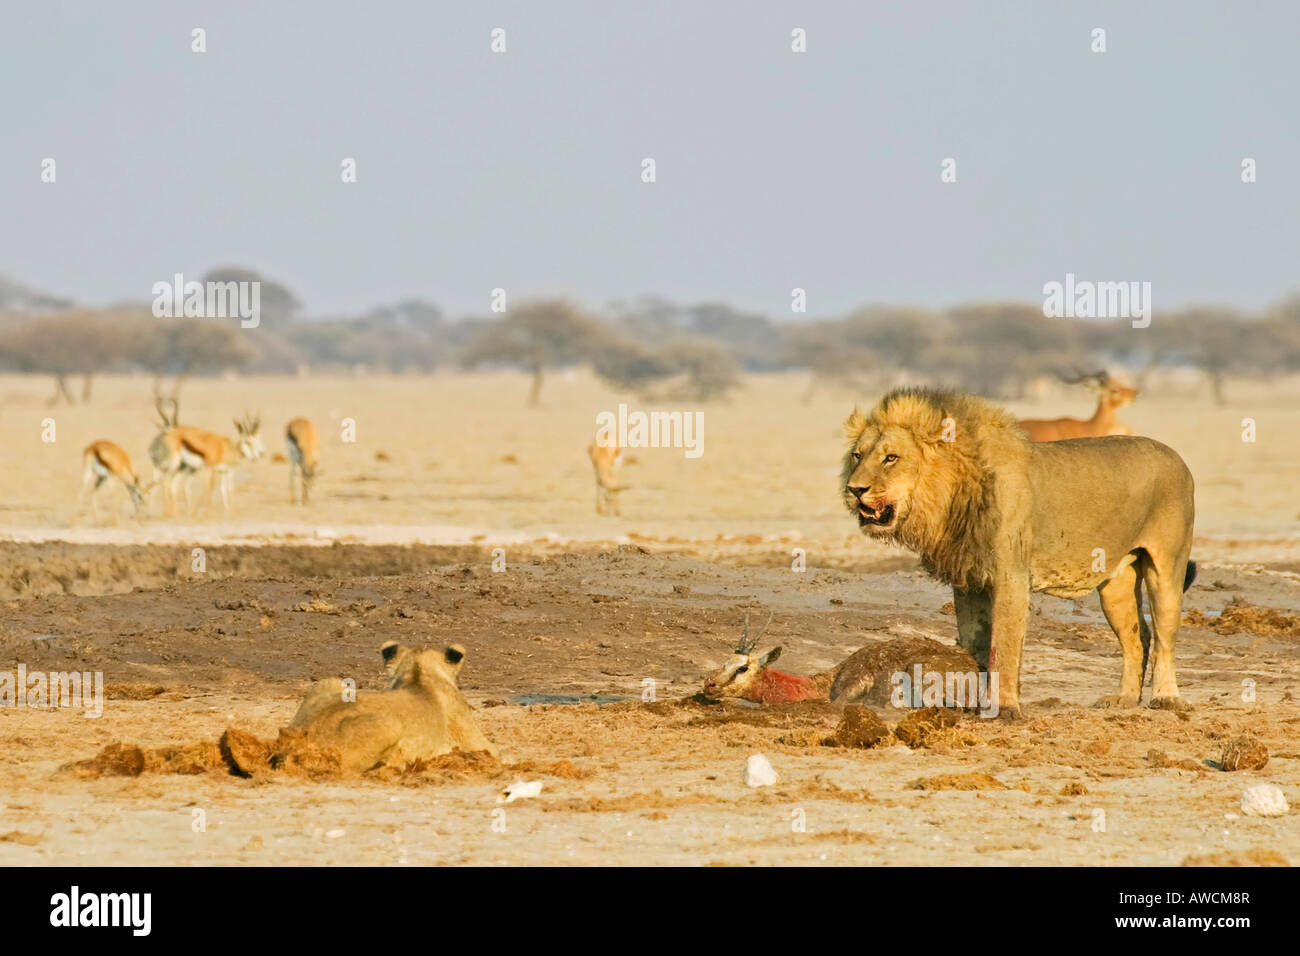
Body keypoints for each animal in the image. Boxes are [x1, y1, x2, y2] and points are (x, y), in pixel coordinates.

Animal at [841, 387, 1196, 718]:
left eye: (891, 458)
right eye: (857, 456)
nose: (854, 490)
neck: (950, 496)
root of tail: (1177, 457)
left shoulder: (1011, 577)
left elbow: (1004, 646)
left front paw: (1004, 708)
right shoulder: (969, 583)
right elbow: (976, 643)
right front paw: (976, 702)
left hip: (1166, 567)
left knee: (1164, 636)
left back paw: (1165, 697)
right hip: (1116, 583)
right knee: (1139, 636)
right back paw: (1124, 699)